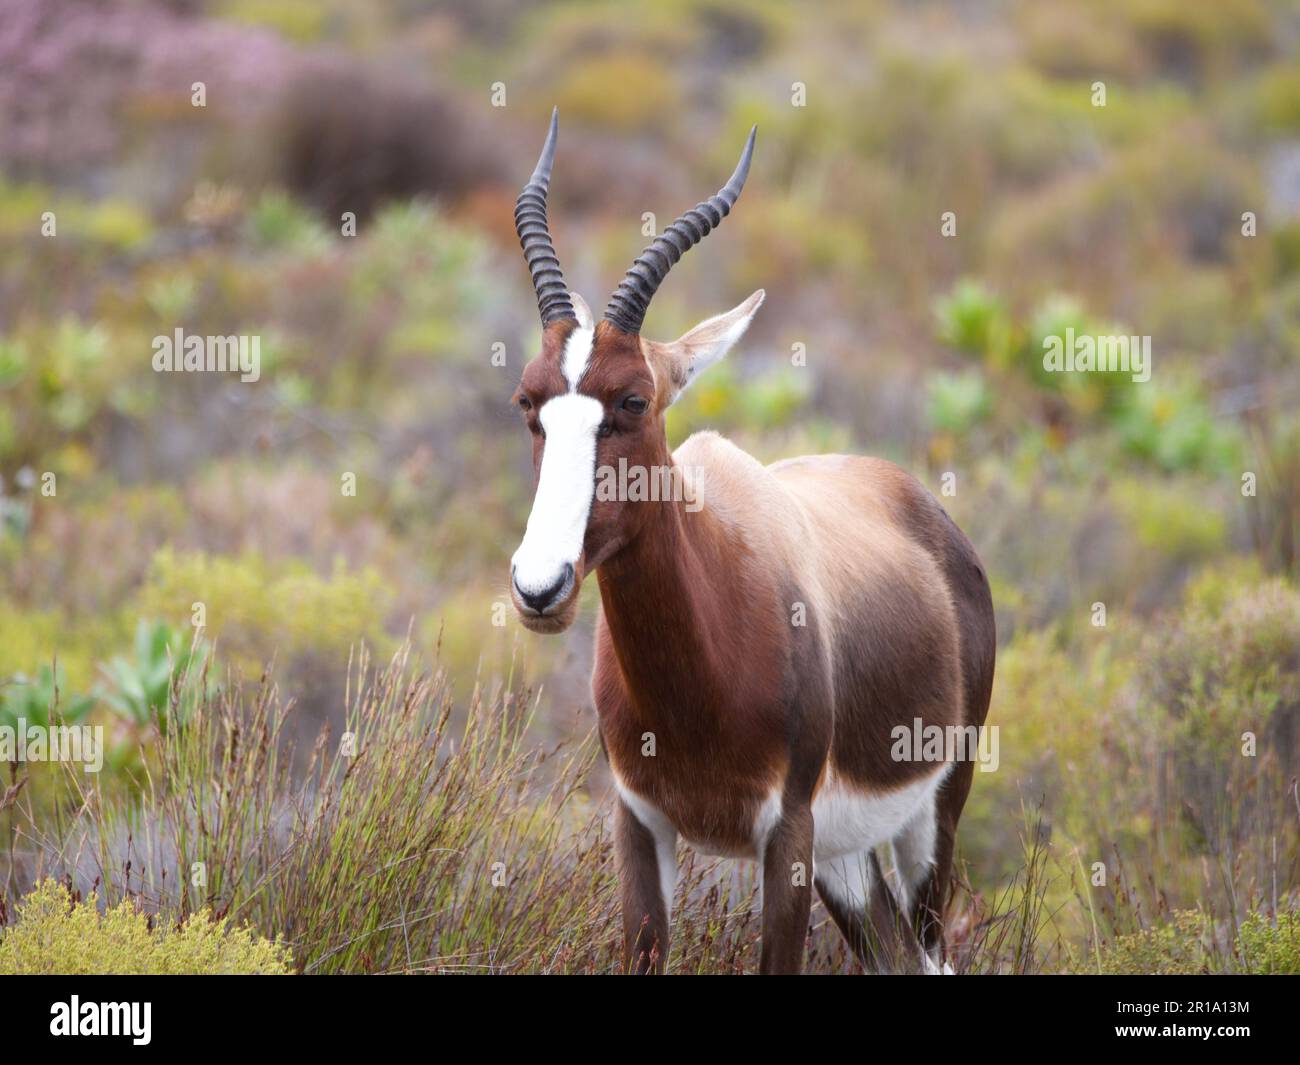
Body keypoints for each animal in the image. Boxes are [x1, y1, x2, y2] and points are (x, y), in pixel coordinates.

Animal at [509, 110, 995, 974]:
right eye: (528, 401)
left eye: (633, 399)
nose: (541, 587)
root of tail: (929, 514)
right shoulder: (639, 822)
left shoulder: (786, 835)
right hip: (848, 857)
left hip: (933, 817)